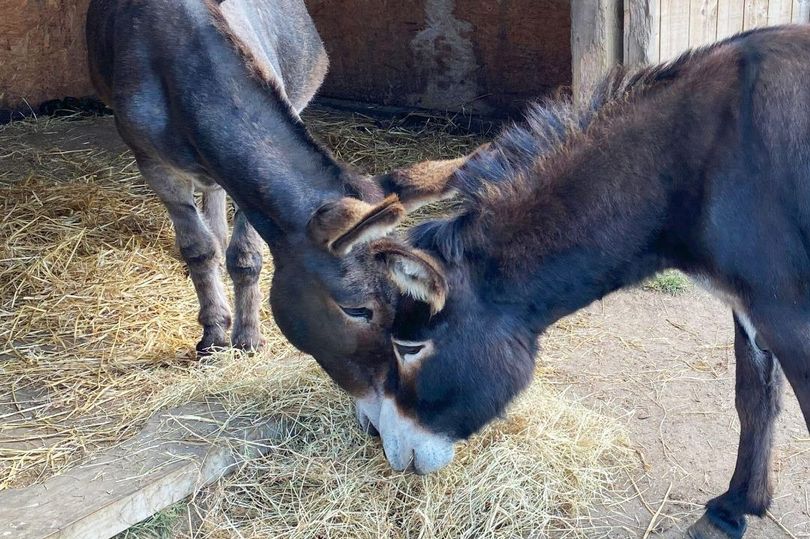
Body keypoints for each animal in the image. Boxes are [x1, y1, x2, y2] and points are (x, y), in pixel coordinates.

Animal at [351, 26, 810, 539]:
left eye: (409, 347)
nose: (379, 439)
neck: (695, 160)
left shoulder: (789, 317)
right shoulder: (750, 306)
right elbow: (754, 399)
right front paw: (733, 508)